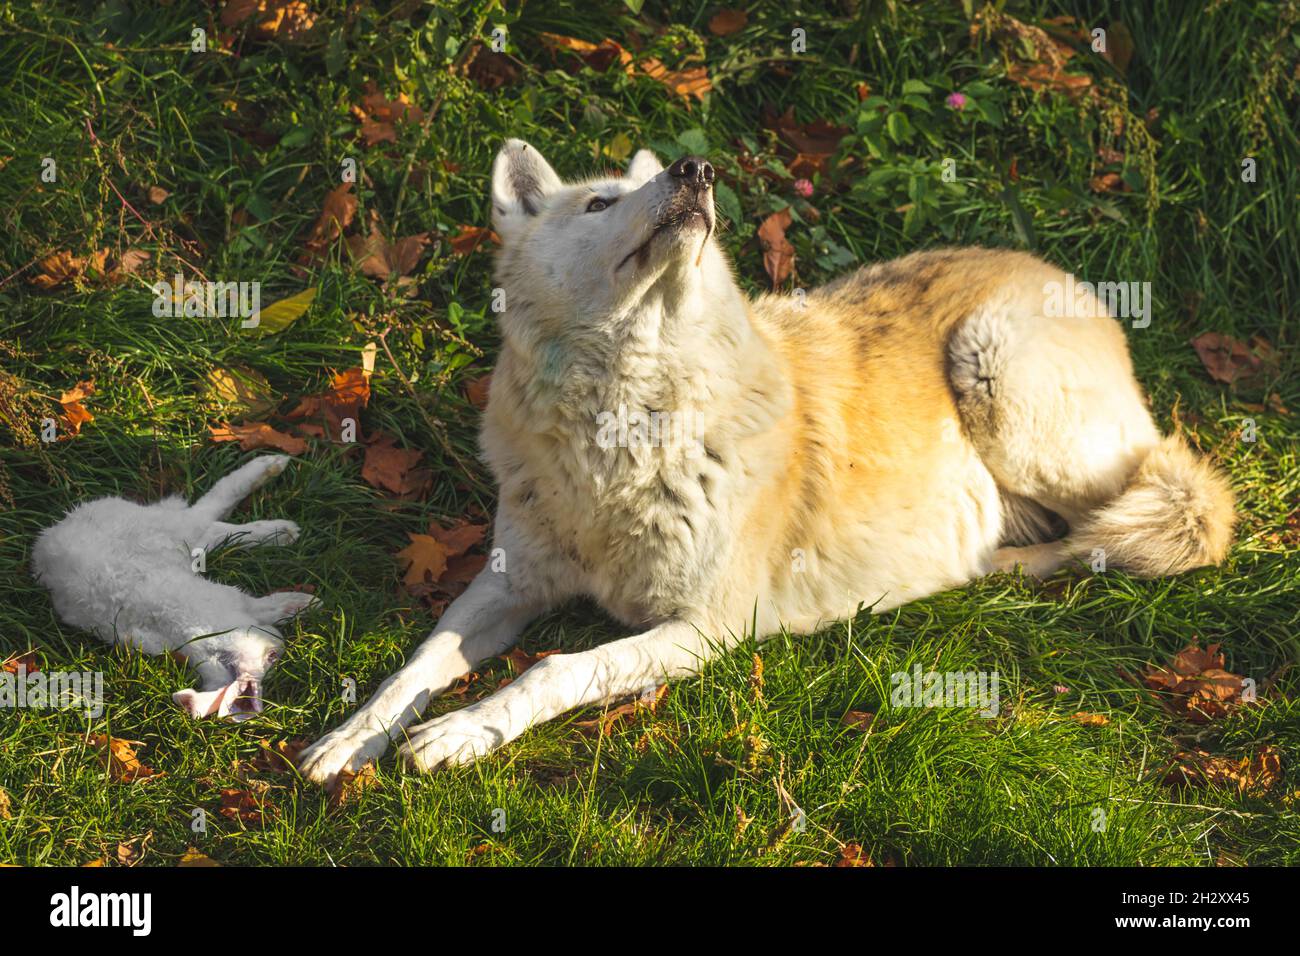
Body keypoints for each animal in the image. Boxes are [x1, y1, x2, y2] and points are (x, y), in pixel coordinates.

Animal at [298, 139, 1235, 785]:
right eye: (600, 202)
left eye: (635, 186)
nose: (695, 170)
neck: (624, 426)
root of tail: (1075, 281)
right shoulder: (508, 583)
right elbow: (420, 662)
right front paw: (351, 736)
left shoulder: (702, 629)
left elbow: (556, 668)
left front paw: (461, 733)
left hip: (999, 377)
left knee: (1163, 521)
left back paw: (991, 564)